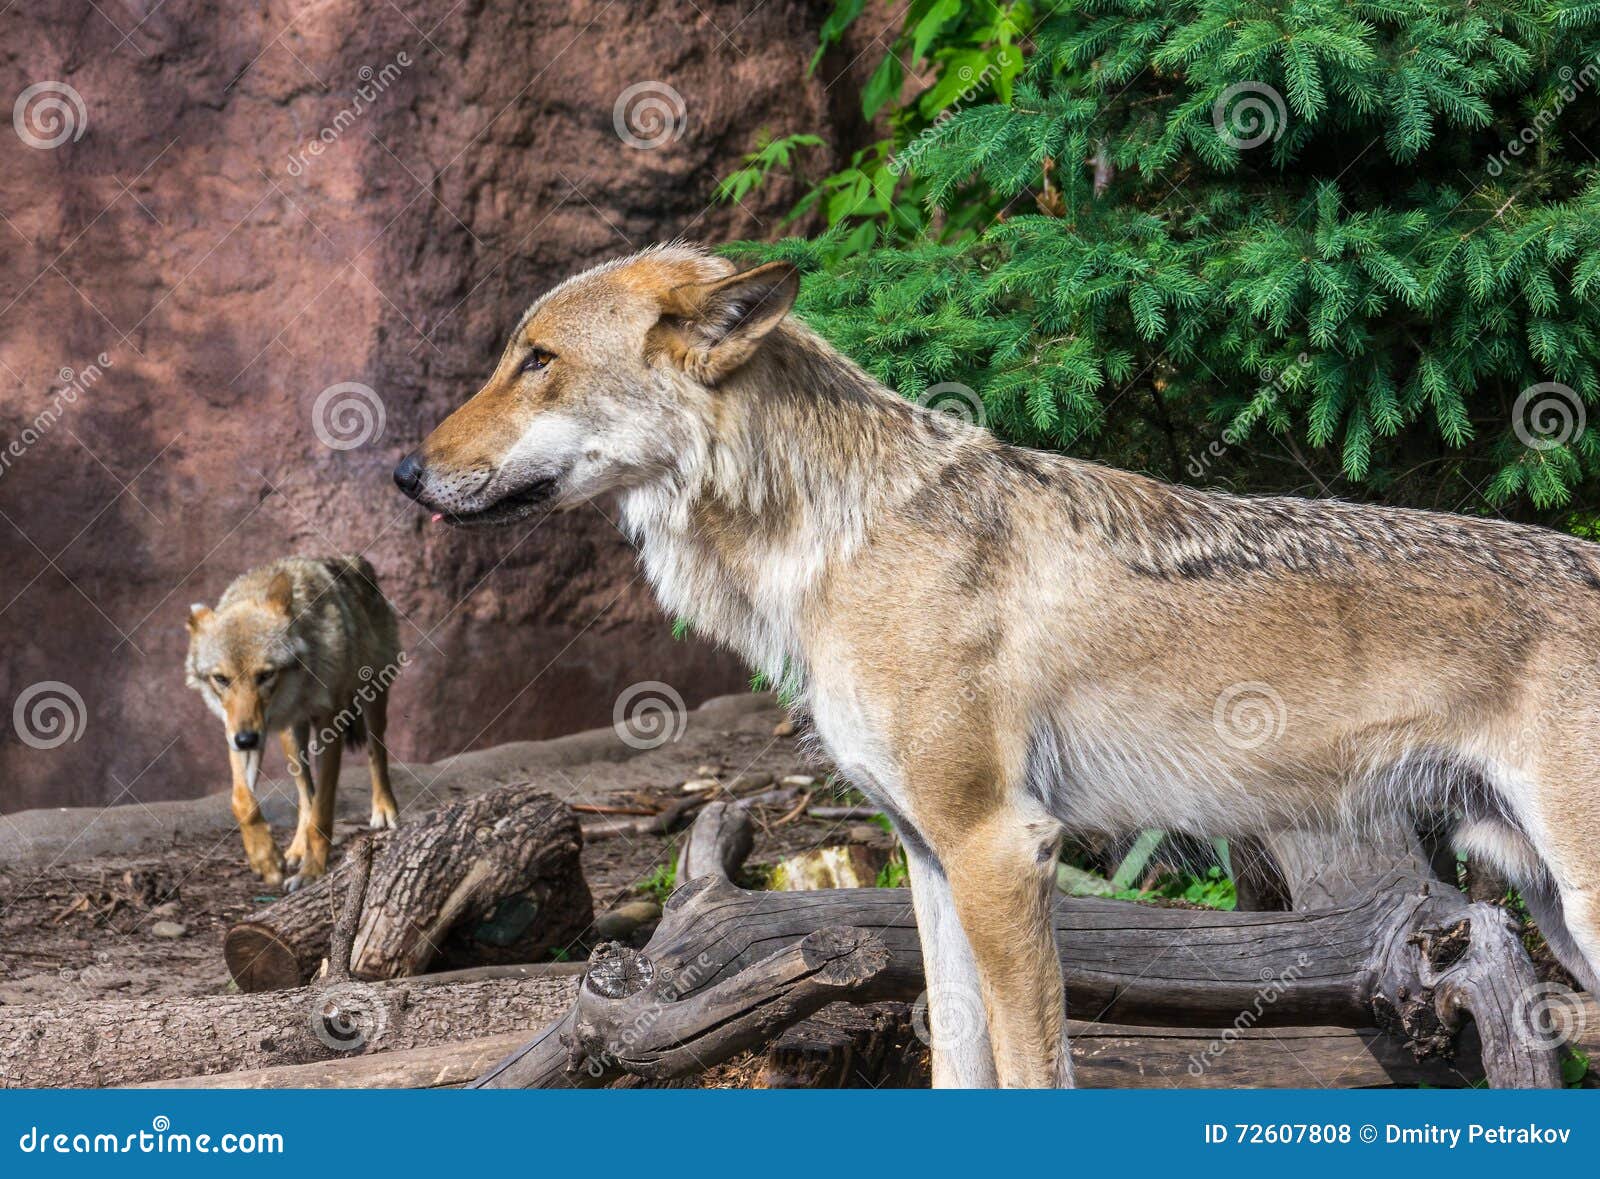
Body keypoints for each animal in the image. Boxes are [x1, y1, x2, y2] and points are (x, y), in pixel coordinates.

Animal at [185, 555, 402, 889]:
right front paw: (266, 860)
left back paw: (385, 809)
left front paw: (312, 872)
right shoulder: (236, 729)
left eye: (265, 675)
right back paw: (297, 849)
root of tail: (355, 561)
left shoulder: (330, 723)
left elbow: (323, 812)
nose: (246, 740)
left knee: (376, 753)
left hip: (373, 697)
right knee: (304, 794)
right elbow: (242, 801)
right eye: (221, 679)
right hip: (291, 739)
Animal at [392, 243, 1600, 1087]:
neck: (835, 548)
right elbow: (955, 1067)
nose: (404, 471)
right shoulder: (930, 861)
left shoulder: (1000, 849)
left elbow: (1032, 1071)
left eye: (535, 361)